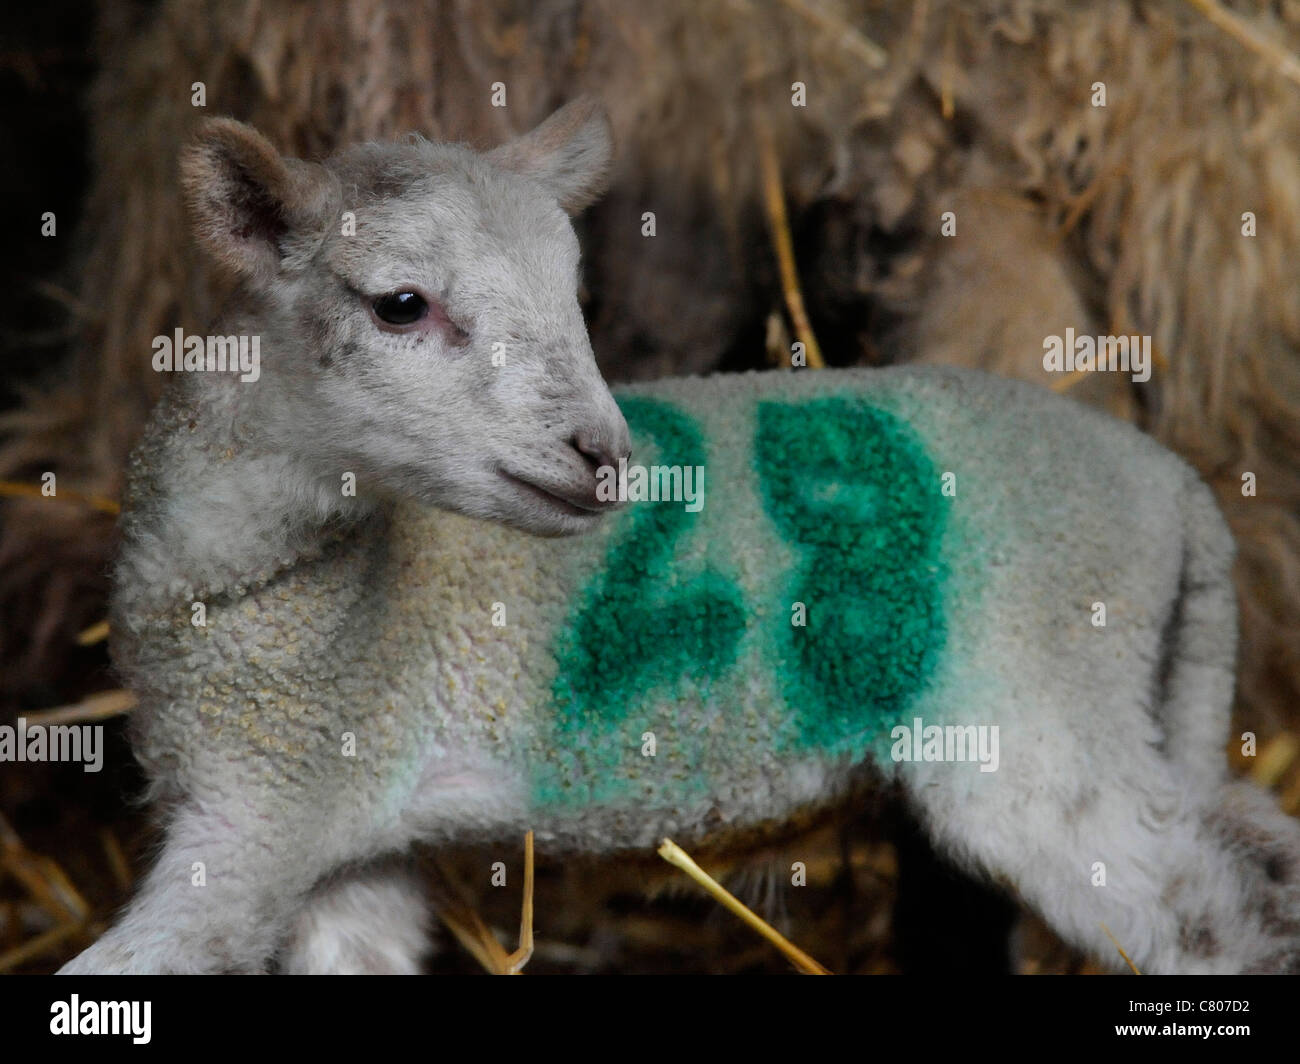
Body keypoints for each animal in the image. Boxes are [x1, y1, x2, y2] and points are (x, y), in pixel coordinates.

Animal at [60, 98, 1300, 974]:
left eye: (575, 292)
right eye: (399, 304)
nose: (606, 453)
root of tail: (1175, 489)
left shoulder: (267, 805)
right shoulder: (350, 836)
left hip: (1042, 720)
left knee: (1212, 915)